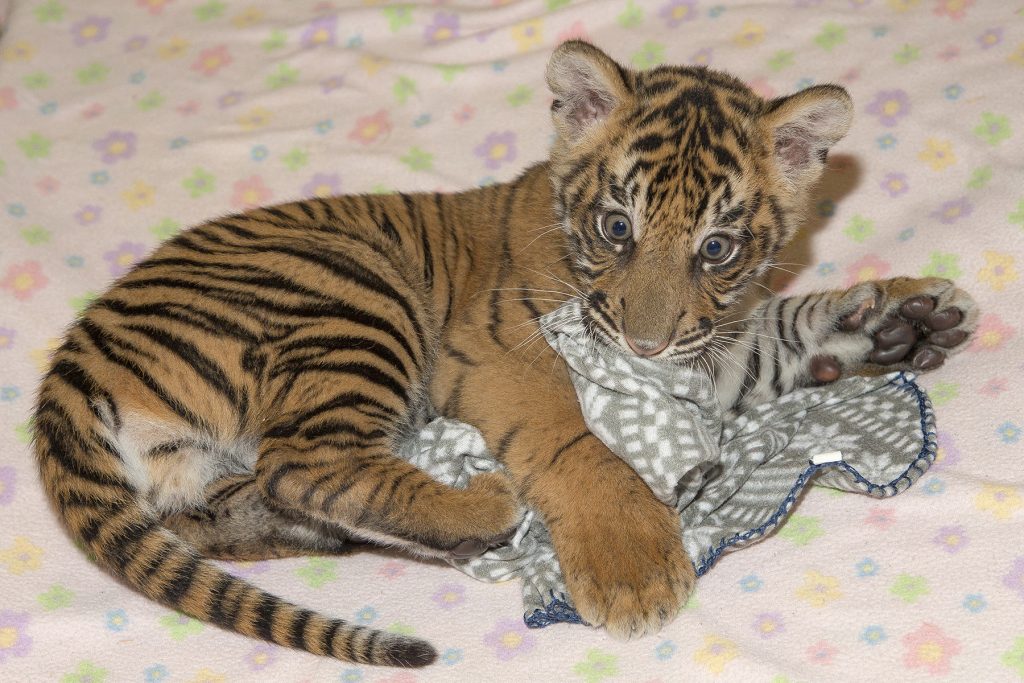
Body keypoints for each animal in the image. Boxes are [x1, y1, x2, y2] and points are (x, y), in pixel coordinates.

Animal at [32, 41, 977, 667]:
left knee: (236, 507)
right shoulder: (493, 351)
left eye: (717, 248)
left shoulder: (713, 348)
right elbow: (575, 440)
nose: (645, 341)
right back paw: (480, 506)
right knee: (308, 463)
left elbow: (786, 328)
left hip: (218, 460)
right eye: (617, 226)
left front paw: (909, 316)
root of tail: (73, 360)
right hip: (351, 291)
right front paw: (634, 565)